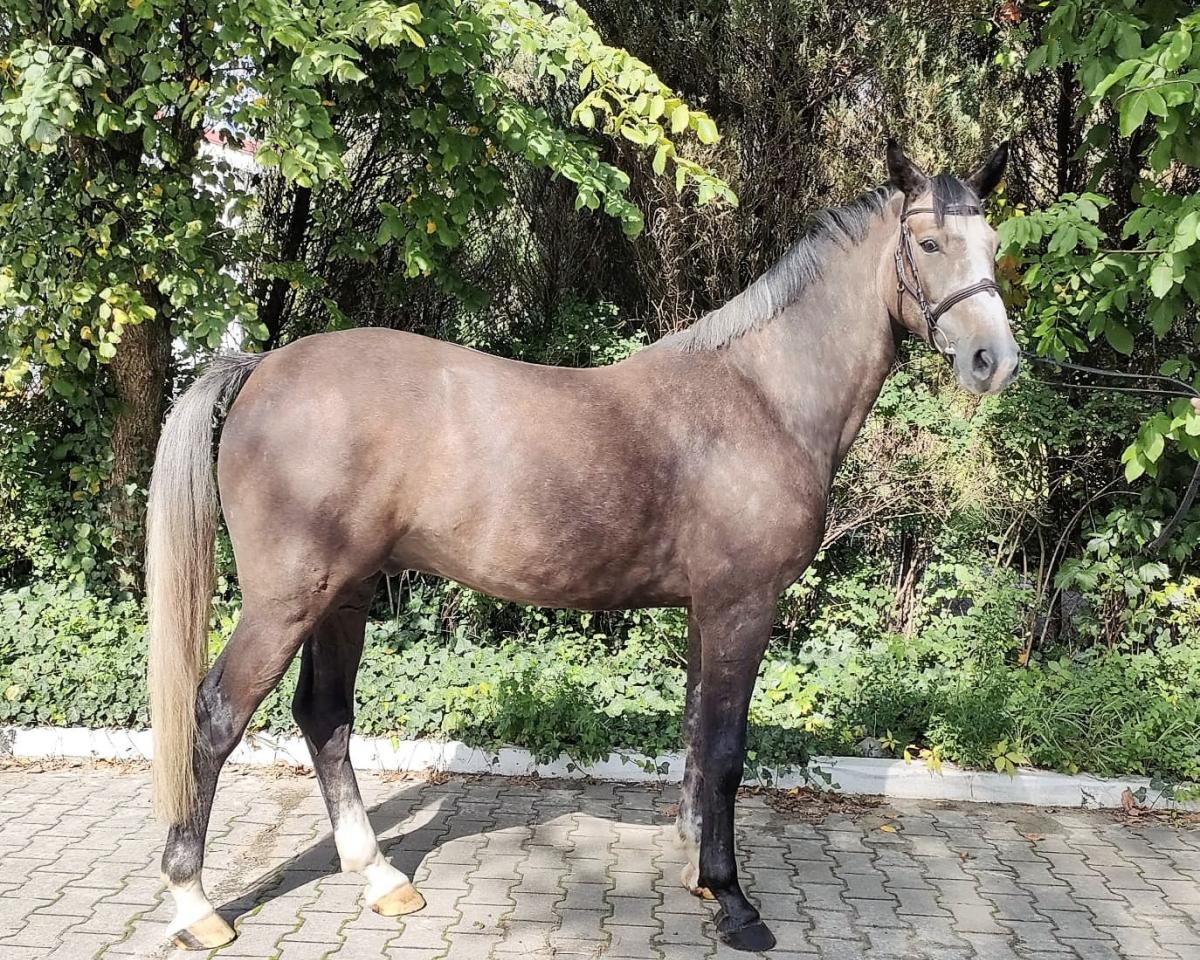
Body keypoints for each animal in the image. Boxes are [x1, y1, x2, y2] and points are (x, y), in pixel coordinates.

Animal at [146, 140, 1017, 952]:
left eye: (994, 244)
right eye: (929, 242)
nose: (994, 360)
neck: (762, 397)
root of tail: (260, 364)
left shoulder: (705, 611)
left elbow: (696, 738)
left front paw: (696, 871)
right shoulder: (742, 606)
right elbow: (727, 752)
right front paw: (734, 903)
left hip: (345, 595)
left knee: (324, 716)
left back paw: (380, 877)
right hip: (288, 599)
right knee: (216, 715)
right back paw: (194, 904)